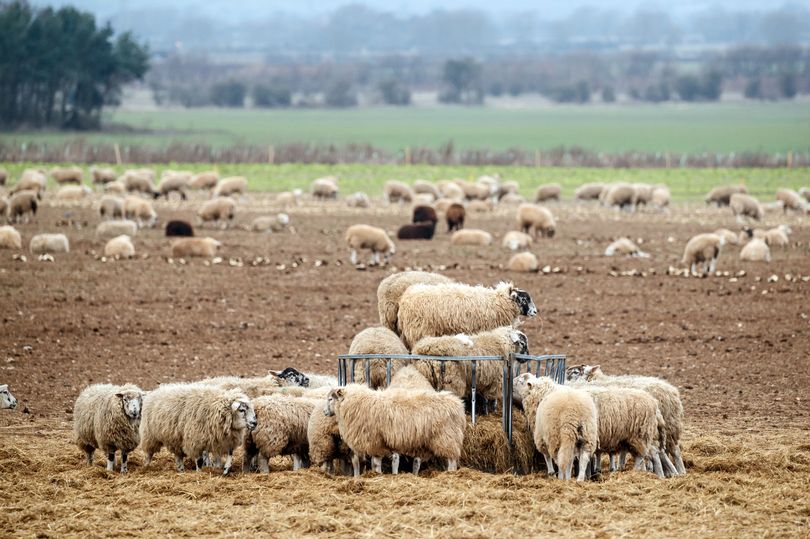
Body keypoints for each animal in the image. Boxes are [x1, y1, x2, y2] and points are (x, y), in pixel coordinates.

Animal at [325, 385, 465, 476]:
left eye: (330, 399)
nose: (324, 412)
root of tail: (458, 405)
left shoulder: (375, 442)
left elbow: (376, 463)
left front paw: (377, 474)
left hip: (447, 437)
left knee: (452, 460)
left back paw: (451, 473)